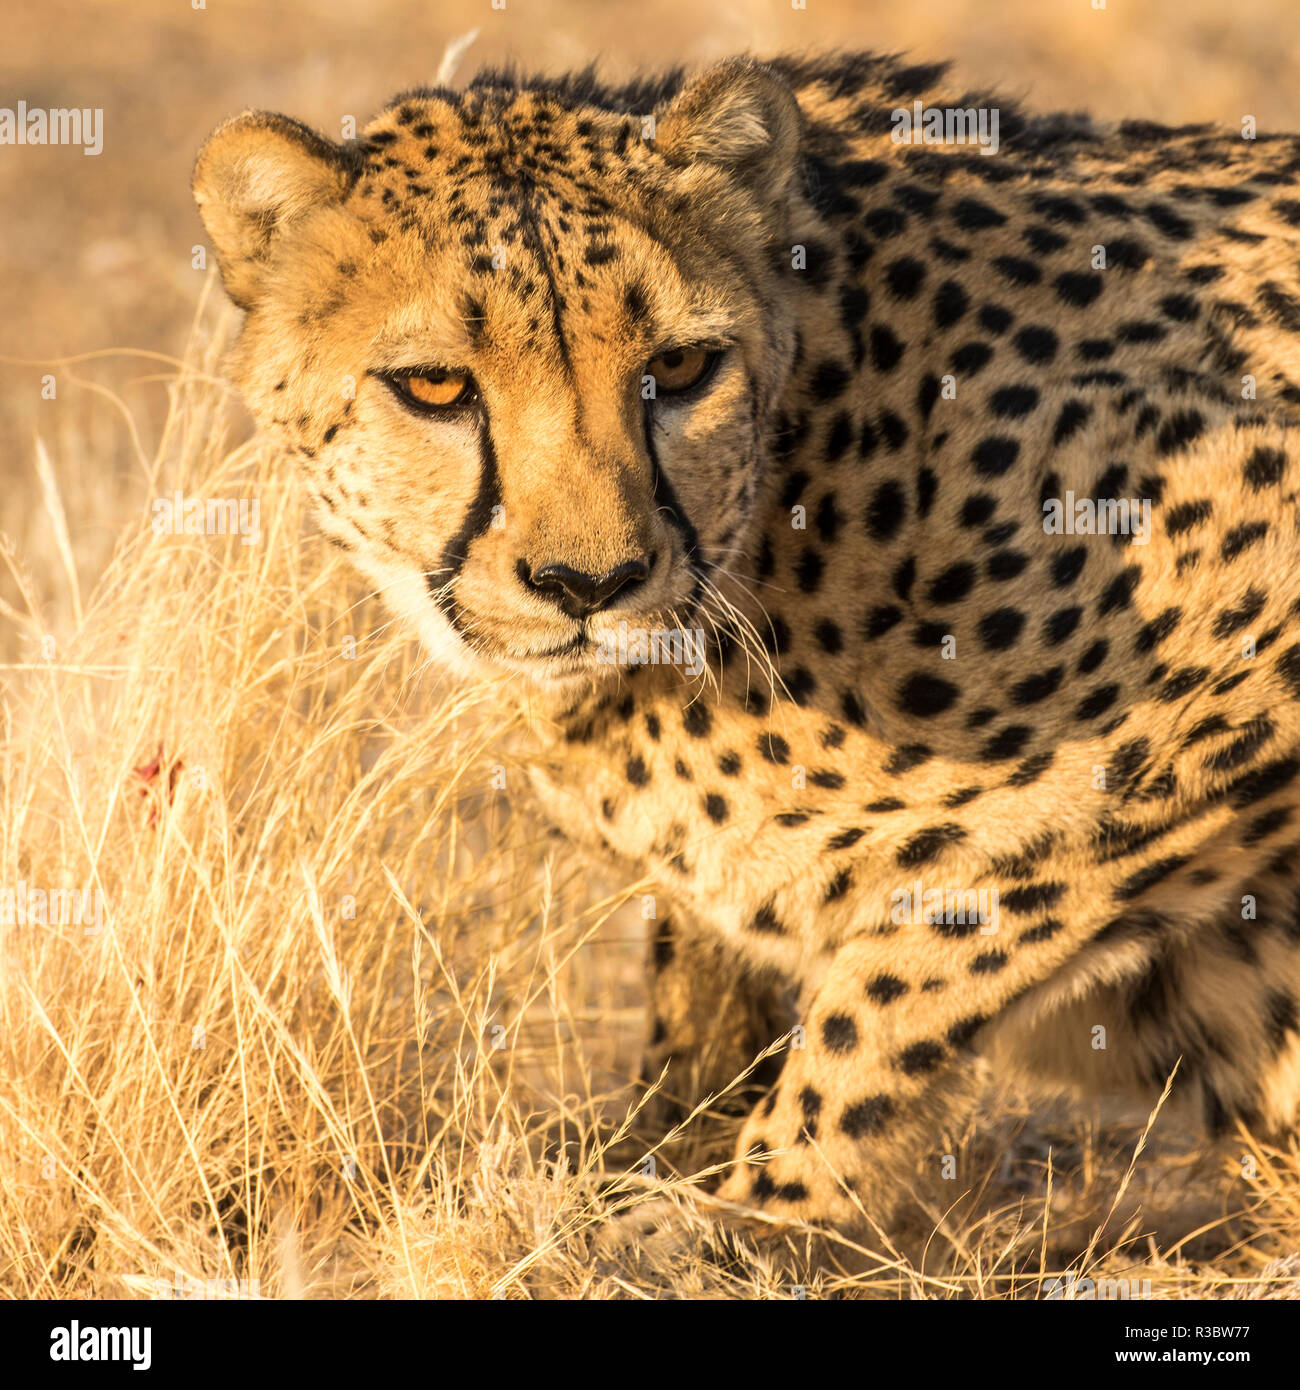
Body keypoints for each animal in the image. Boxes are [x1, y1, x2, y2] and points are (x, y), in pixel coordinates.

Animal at [193, 49, 1300, 1249]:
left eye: (680, 367)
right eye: (435, 385)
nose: (589, 583)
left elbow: (913, 957)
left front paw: (741, 1215)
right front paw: (649, 1158)